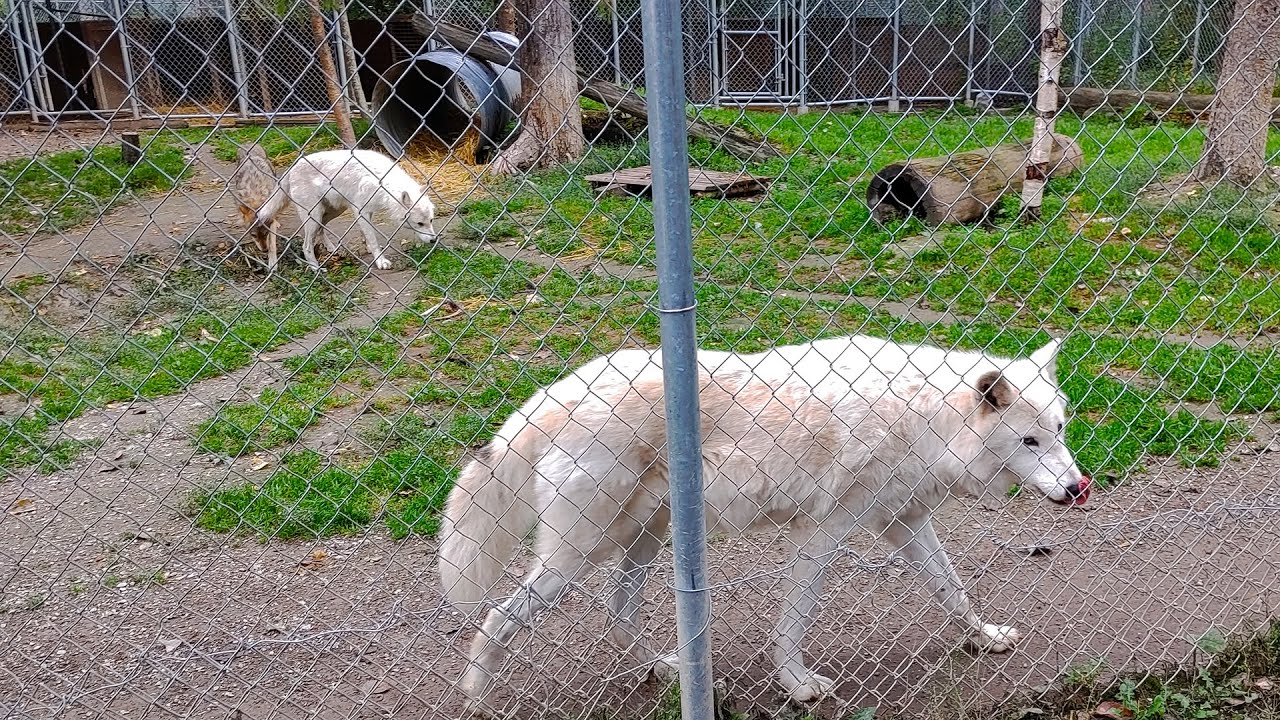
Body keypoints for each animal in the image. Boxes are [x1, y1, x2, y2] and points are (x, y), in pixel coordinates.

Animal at [228, 144, 281, 272]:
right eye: (253, 235)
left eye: (266, 234)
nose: (264, 250)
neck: (255, 197)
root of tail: (247, 143)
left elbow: (272, 244)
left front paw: (273, 262)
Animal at [257, 148, 436, 271]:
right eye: (419, 223)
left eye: (431, 221)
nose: (434, 241)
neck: (382, 182)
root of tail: (291, 168)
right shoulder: (361, 211)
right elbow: (372, 238)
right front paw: (380, 261)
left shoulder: (366, 212)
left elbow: (367, 236)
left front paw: (369, 249)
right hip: (314, 216)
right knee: (306, 246)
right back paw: (316, 270)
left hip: (332, 212)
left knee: (321, 229)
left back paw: (330, 248)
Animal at [437, 334, 1090, 711]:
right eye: (1028, 441)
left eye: (1059, 430)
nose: (1077, 488)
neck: (926, 418)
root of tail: (548, 394)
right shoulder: (821, 533)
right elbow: (794, 621)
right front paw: (797, 685)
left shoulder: (905, 522)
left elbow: (953, 589)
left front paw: (985, 637)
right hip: (581, 553)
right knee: (498, 616)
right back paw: (477, 695)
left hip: (646, 539)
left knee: (617, 612)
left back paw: (668, 671)